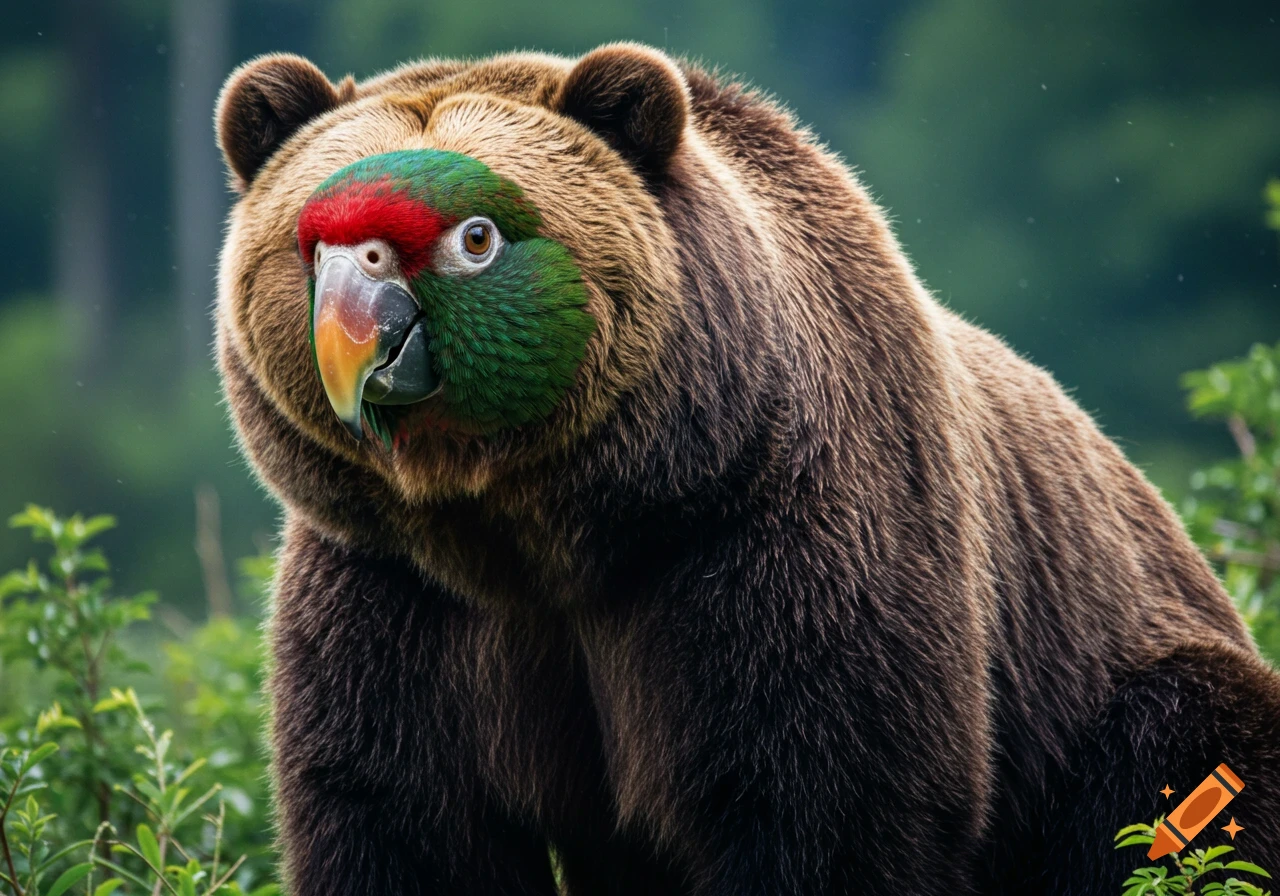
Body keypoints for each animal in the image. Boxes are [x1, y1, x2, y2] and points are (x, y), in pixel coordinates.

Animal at [212, 44, 1280, 894]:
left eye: (476, 236)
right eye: (313, 240)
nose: (353, 315)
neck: (548, 529)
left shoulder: (770, 550)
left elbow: (829, 804)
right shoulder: (395, 599)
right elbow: (400, 822)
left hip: (1114, 687)